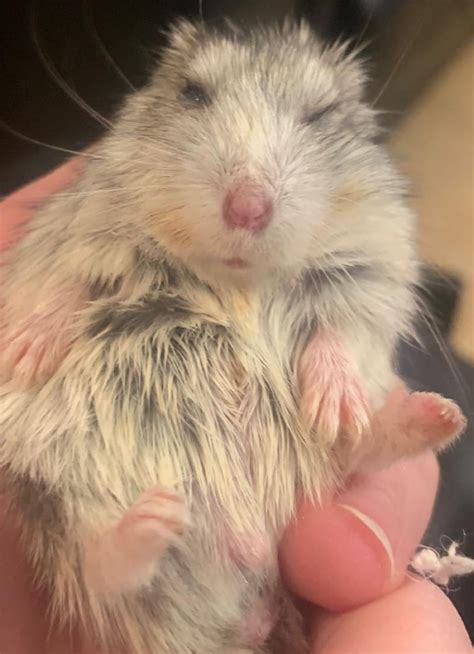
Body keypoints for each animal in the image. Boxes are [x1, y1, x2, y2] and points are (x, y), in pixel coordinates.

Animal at [0, 18, 466, 654]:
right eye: (192, 94)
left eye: (320, 114)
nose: (247, 209)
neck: (237, 278)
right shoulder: (85, 225)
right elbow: (66, 286)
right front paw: (24, 350)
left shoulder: (373, 267)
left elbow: (340, 331)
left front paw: (336, 402)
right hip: (55, 493)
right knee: (104, 574)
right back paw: (148, 524)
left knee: (351, 454)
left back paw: (428, 417)